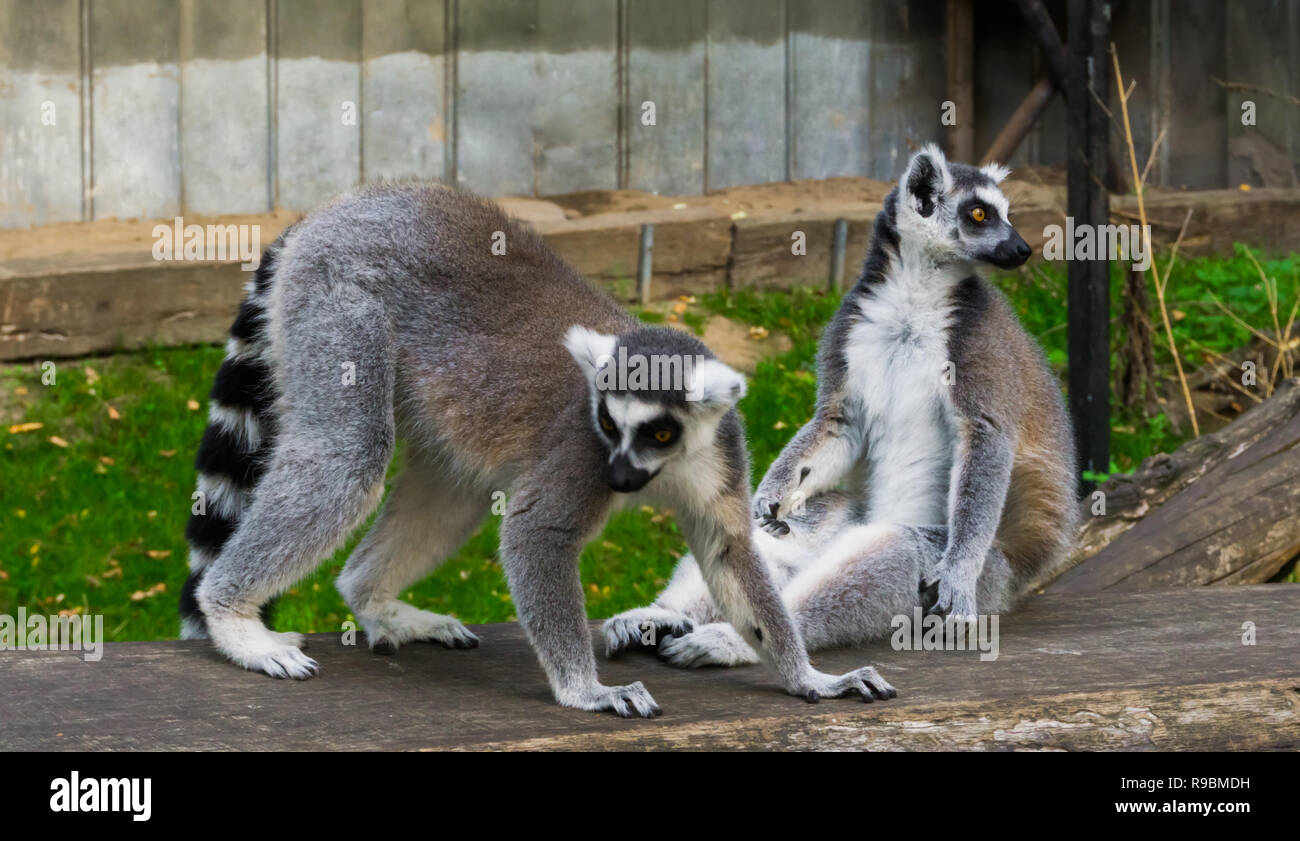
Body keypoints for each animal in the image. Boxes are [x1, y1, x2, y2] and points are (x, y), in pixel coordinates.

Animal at [180, 181, 896, 716]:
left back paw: (378, 605)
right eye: (605, 421)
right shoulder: (578, 453)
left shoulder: (720, 455)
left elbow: (730, 552)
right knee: (347, 456)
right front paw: (588, 692)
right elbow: (535, 535)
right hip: (338, 302)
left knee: (453, 491)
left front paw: (810, 679)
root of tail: (341, 208)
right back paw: (234, 622)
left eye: (659, 432)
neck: (667, 468)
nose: (620, 476)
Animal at [605, 145, 1078, 667]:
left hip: (977, 574)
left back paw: (730, 641)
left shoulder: (981, 345)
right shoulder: (849, 330)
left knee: (893, 551)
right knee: (769, 536)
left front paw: (958, 571)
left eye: (1005, 214)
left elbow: (986, 438)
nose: (1023, 249)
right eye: (980, 214)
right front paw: (770, 493)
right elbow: (839, 423)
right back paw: (658, 617)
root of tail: (1020, 573)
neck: (913, 295)